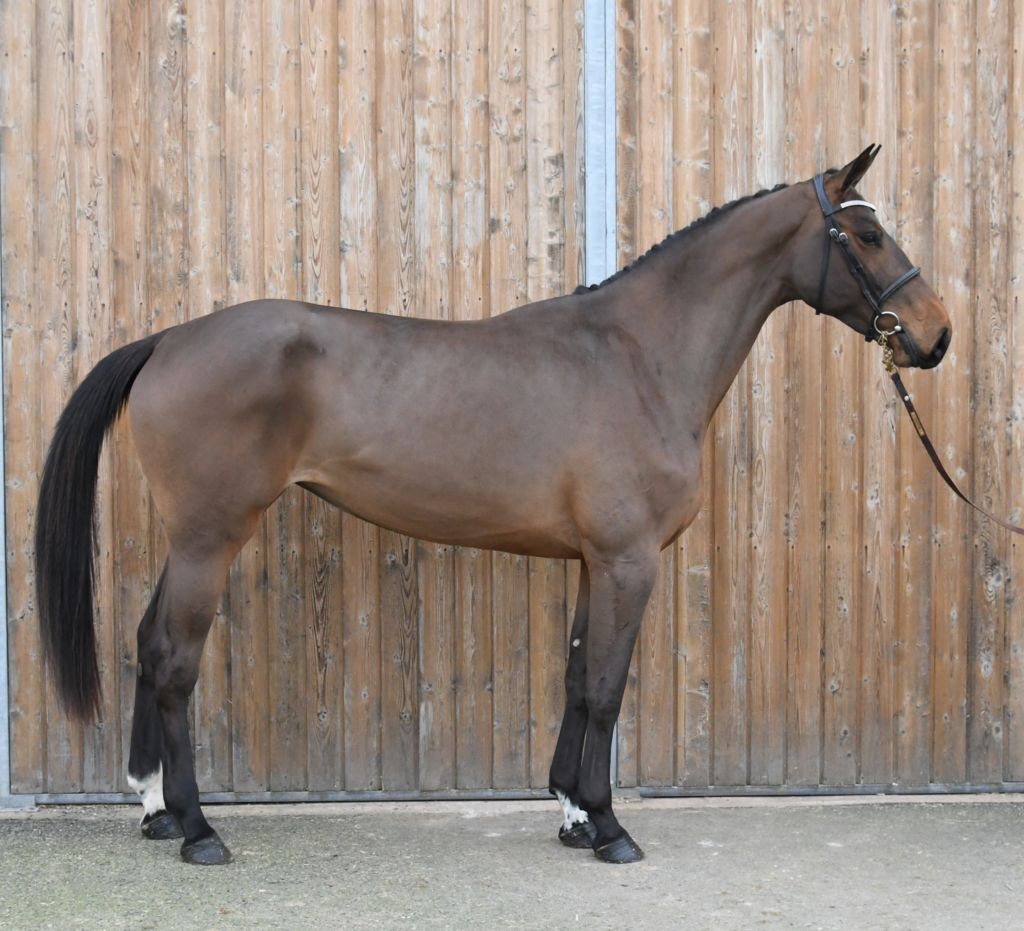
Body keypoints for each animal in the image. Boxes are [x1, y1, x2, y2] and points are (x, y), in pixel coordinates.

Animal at [35, 145, 952, 866]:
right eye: (866, 235)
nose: (935, 333)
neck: (638, 357)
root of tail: (168, 340)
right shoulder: (628, 561)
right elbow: (608, 688)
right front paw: (611, 826)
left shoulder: (593, 561)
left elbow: (578, 676)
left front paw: (573, 813)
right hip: (210, 537)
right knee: (174, 659)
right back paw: (197, 829)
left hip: (191, 539)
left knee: (148, 643)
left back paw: (154, 809)